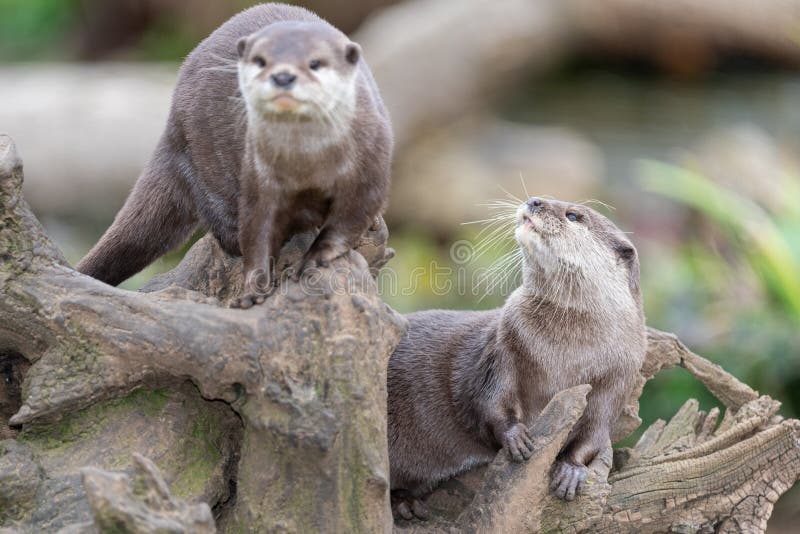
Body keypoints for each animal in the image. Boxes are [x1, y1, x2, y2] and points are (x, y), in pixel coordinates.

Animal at [76, 3, 392, 308]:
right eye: (260, 61)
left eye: (315, 63)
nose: (283, 76)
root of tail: (172, 123)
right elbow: (256, 232)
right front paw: (255, 288)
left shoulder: (371, 173)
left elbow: (350, 220)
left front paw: (317, 256)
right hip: (201, 153)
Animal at [388, 197, 646, 519]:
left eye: (573, 215)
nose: (534, 200)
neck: (565, 354)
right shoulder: (503, 347)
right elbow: (487, 400)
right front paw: (515, 437)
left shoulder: (620, 376)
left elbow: (596, 432)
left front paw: (570, 471)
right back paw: (405, 503)